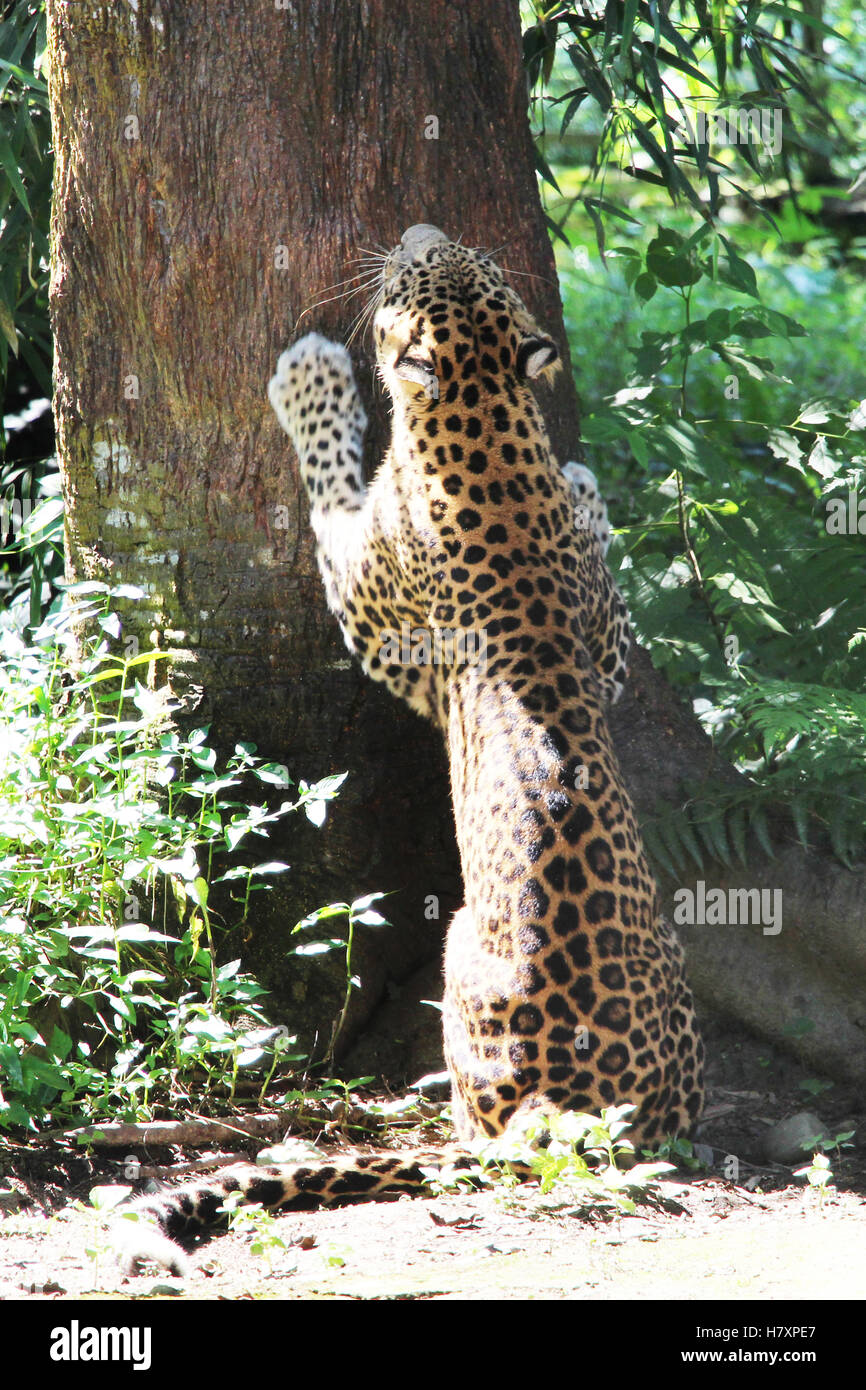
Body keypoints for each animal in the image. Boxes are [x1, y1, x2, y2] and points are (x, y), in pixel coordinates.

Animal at [112, 224, 703, 1276]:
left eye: (417, 275)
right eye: (464, 264)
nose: (417, 234)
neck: (486, 415)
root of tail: (568, 1119)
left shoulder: (372, 611)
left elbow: (328, 481)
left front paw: (312, 381)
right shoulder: (606, 655)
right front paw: (587, 487)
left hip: (462, 947)